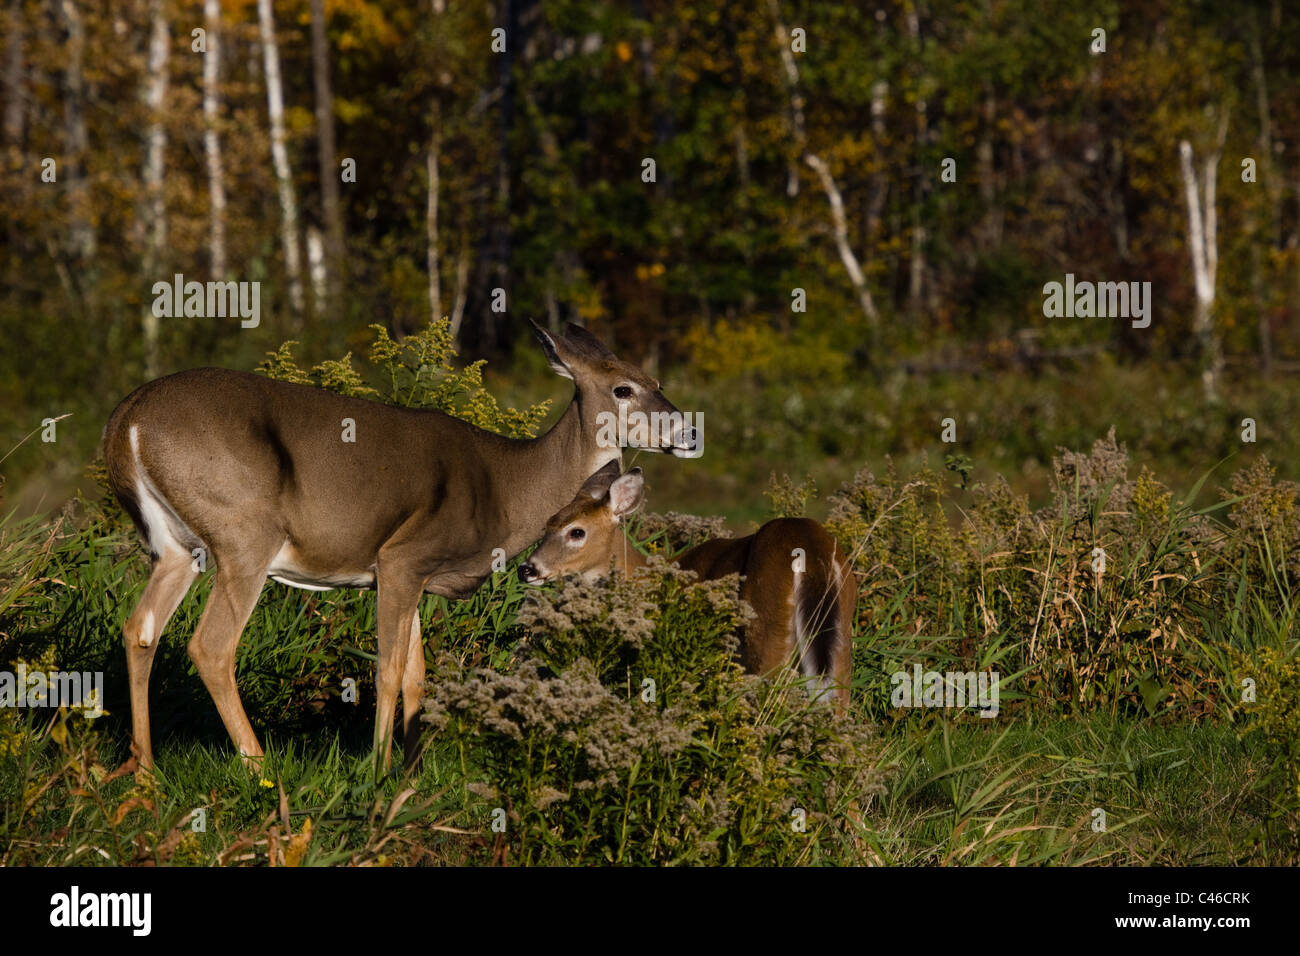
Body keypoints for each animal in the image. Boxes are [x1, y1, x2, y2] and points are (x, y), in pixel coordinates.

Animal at [101, 322, 698, 773]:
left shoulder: (412, 574)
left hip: (175, 547)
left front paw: (409, 772)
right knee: (211, 646)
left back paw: (146, 771)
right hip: (244, 533)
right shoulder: (401, 556)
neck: (508, 487)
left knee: (140, 629)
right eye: (623, 389)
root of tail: (127, 420)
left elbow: (415, 674)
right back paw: (261, 769)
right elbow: (387, 669)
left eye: (657, 379)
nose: (690, 432)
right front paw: (378, 771)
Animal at [517, 464, 856, 712]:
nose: (527, 569)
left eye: (577, 532)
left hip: (766, 631)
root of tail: (811, 551)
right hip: (839, 642)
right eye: (548, 523)